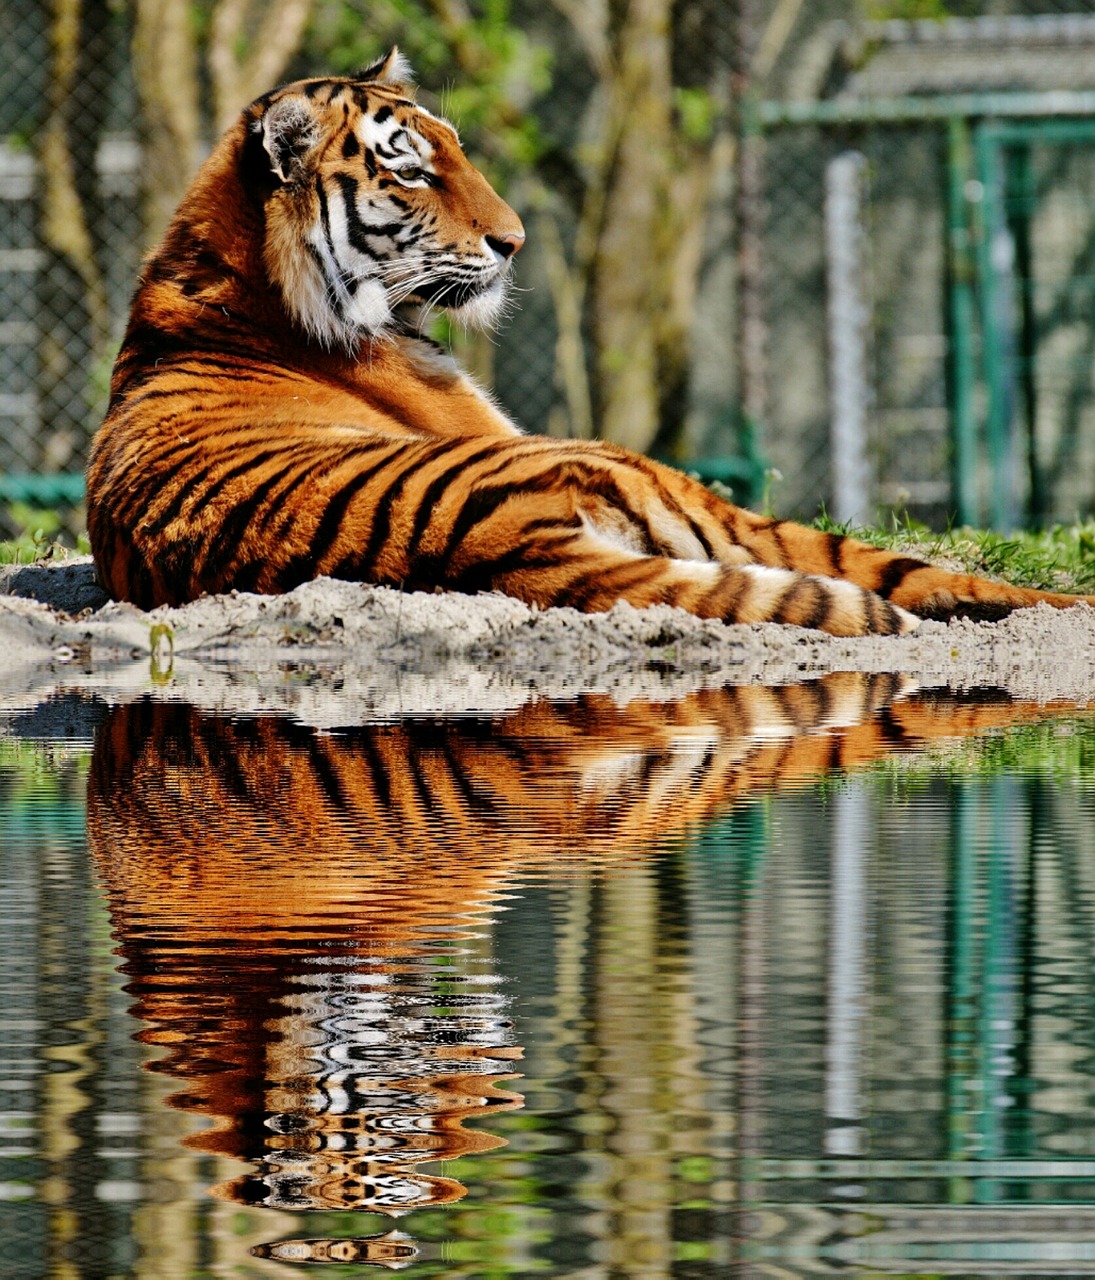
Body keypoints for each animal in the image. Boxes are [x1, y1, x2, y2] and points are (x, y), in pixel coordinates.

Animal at [85, 48, 1095, 635]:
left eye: (457, 149)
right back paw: (1055, 607)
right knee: (879, 566)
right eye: (411, 172)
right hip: (648, 477)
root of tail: (490, 541)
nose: (515, 240)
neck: (242, 276)